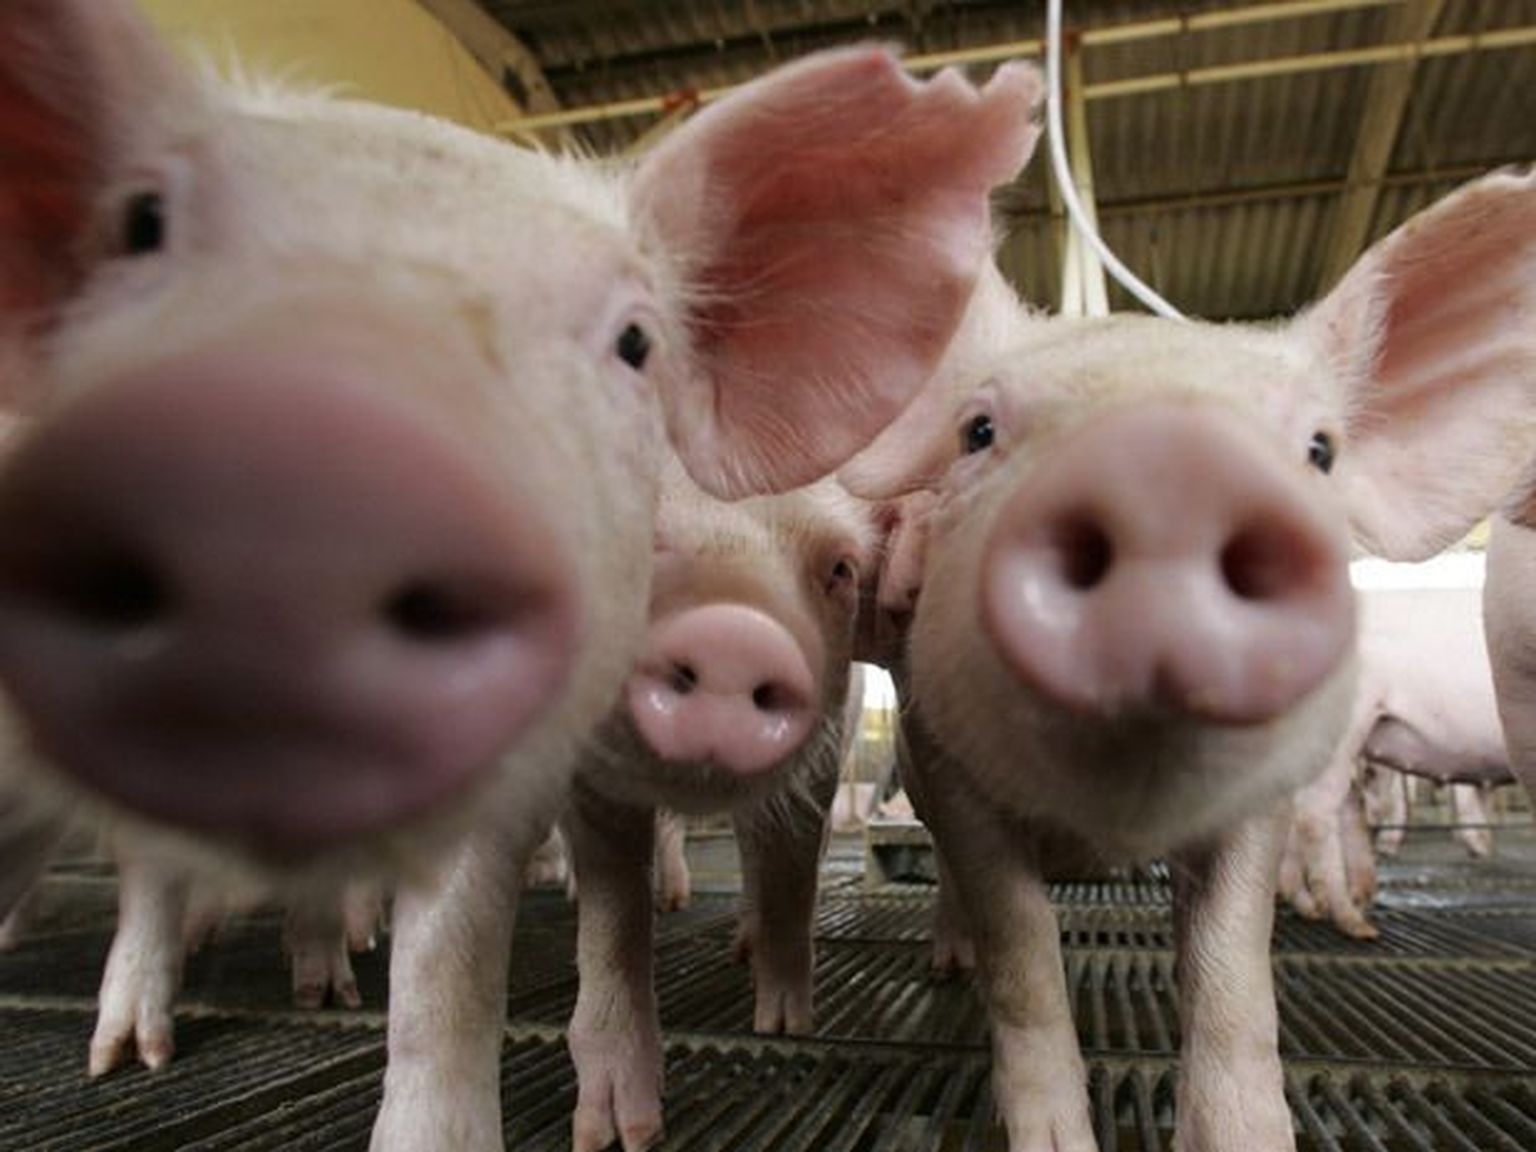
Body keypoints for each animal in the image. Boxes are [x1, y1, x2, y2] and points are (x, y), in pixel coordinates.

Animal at [841, 169, 1536, 1152]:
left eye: (1320, 451)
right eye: (977, 431)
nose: (1168, 463)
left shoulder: (1262, 798)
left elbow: (1232, 970)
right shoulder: (948, 764)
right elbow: (1021, 957)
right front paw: (1051, 1137)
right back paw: (949, 962)